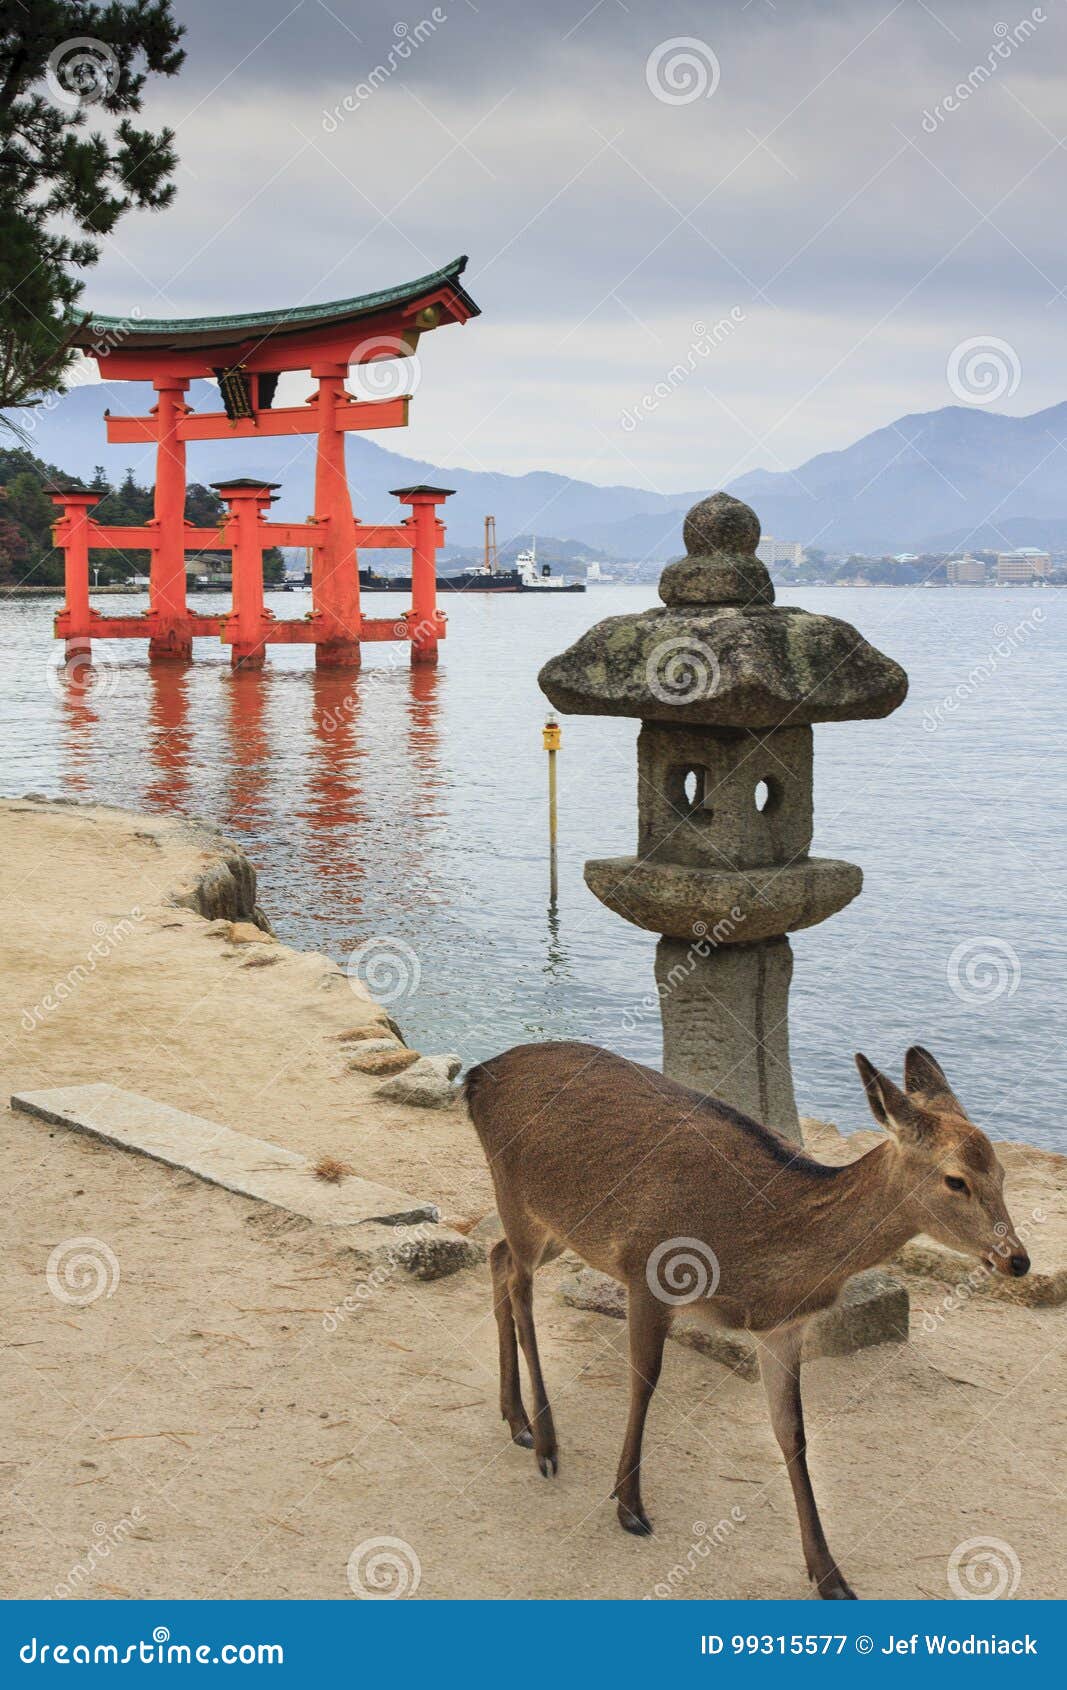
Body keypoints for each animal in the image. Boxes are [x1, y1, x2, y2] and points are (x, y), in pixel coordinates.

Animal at [464, 1040, 1029, 1600]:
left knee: (496, 1258)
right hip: (517, 1196)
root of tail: (475, 1076)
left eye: (1002, 1174)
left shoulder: (782, 1328)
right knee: (519, 1288)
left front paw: (829, 1574)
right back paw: (546, 1442)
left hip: (561, 1226)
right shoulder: (648, 1274)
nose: (1017, 1260)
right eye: (956, 1180)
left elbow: (792, 1432)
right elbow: (644, 1383)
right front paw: (630, 1506)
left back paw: (516, 1419)